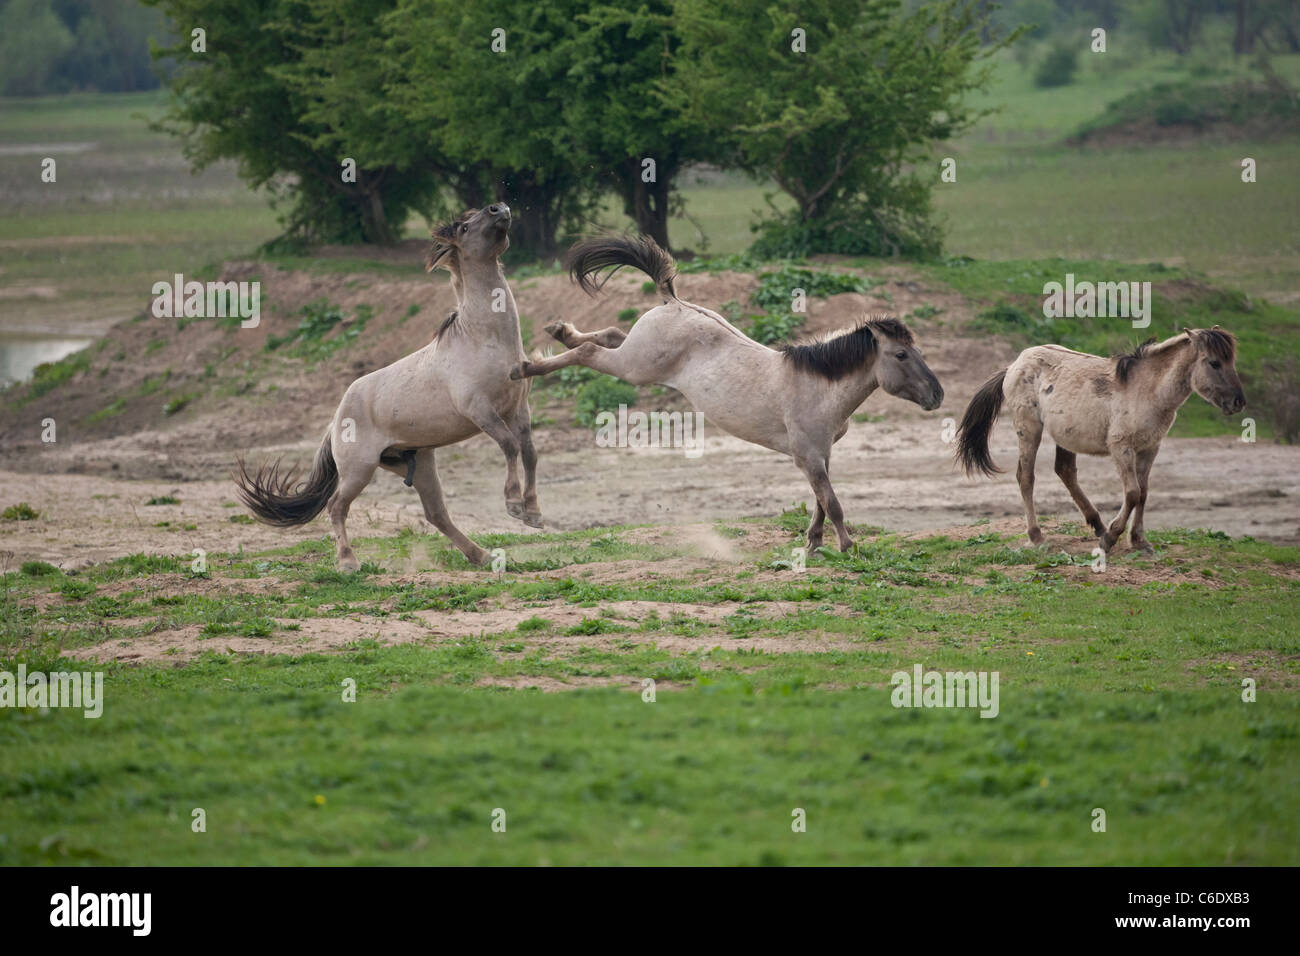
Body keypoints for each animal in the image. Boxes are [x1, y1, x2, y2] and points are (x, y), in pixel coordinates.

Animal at [235, 204, 542, 570]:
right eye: (465, 227)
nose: (499, 208)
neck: (484, 340)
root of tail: (335, 421)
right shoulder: (480, 410)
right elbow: (510, 446)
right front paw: (514, 505)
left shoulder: (518, 408)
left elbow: (529, 452)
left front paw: (533, 513)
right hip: (359, 470)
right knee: (336, 506)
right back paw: (348, 562)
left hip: (421, 464)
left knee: (436, 514)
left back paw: (480, 555)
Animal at [509, 235, 944, 552]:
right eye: (902, 354)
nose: (937, 395)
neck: (818, 386)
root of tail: (673, 300)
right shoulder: (809, 456)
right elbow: (832, 503)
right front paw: (848, 546)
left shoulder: (821, 455)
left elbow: (820, 502)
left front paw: (814, 542)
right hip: (634, 368)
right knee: (588, 352)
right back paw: (525, 367)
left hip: (634, 355)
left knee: (610, 335)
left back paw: (559, 331)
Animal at [955, 327, 1245, 553]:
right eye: (1214, 363)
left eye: (1232, 361)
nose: (1238, 402)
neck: (1147, 390)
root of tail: (1014, 364)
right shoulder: (1121, 448)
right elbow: (1132, 493)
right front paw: (1112, 537)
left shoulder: (1150, 448)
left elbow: (1144, 493)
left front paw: (1139, 541)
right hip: (1028, 430)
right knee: (1026, 477)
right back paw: (1037, 536)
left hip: (1065, 436)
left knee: (1065, 472)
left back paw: (1096, 523)